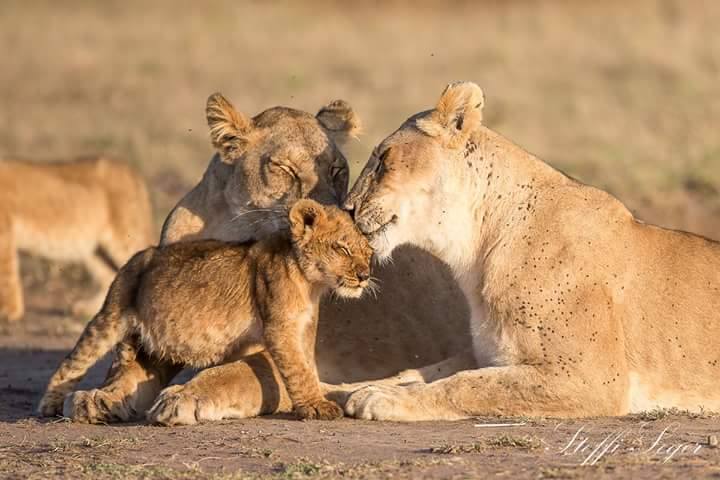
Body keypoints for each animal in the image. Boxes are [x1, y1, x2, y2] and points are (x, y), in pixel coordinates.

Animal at [0, 156, 153, 321]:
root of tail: (132, 173)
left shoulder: (4, 232)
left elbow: (6, 275)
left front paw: (9, 312)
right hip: (94, 250)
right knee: (109, 276)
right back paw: (88, 309)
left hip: (126, 234)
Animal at [38, 199, 373, 422]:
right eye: (342, 248)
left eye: (368, 252)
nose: (365, 275)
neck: (309, 282)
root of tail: (140, 254)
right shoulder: (281, 330)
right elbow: (298, 370)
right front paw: (317, 406)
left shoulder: (302, 329)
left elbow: (306, 367)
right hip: (110, 315)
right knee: (74, 360)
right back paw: (51, 404)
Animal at [337, 81, 720, 420]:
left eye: (383, 159)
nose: (347, 209)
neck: (474, 250)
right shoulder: (487, 356)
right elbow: (413, 373)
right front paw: (341, 390)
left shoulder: (592, 378)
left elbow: (465, 386)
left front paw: (381, 399)